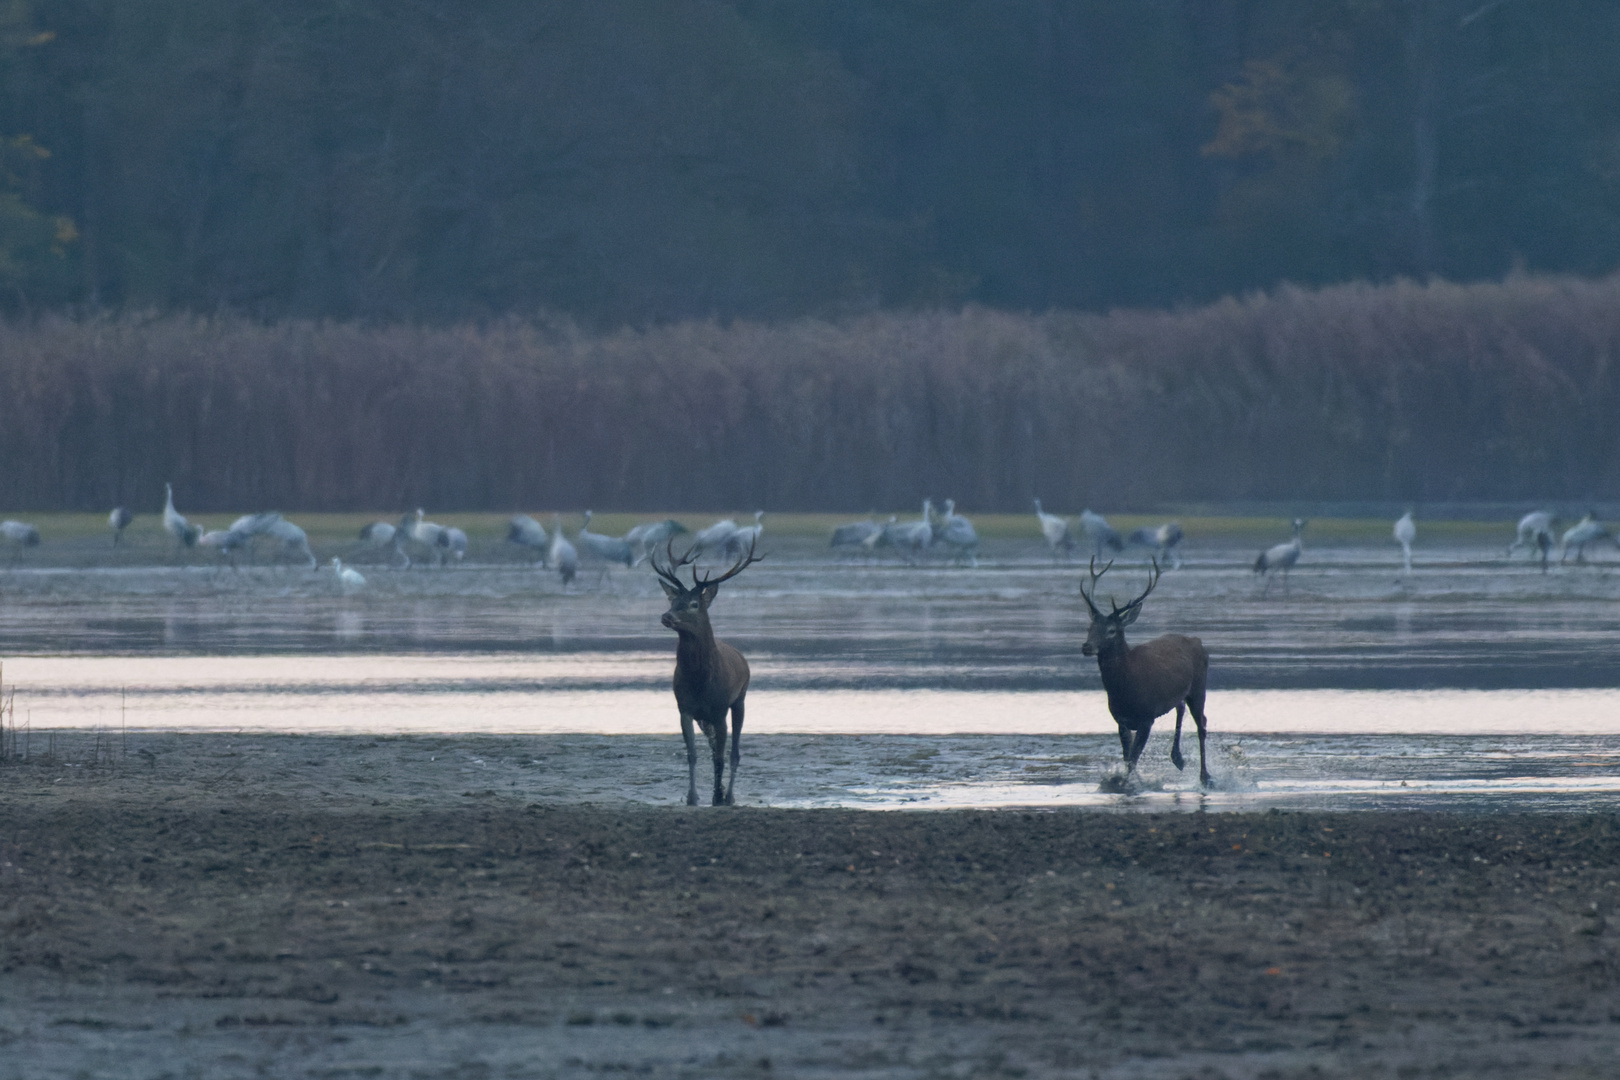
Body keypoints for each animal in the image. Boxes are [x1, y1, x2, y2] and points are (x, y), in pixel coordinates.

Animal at [651, 537, 764, 803]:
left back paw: (728, 794)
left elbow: (721, 756)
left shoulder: (720, 709)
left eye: (693, 604)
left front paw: (718, 797)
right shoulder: (685, 709)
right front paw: (692, 796)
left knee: (733, 752)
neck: (700, 681)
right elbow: (693, 754)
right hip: (705, 718)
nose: (666, 616)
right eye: (673, 601)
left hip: (740, 699)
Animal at [1082, 557, 1211, 786]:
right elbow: (1127, 758)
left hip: (1199, 687)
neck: (1126, 688)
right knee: (1180, 707)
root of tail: (1197, 640)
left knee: (1202, 724)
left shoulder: (1147, 717)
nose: (1086, 646)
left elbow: (1133, 759)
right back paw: (1178, 758)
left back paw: (1205, 777)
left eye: (1111, 630)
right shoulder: (1120, 720)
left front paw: (1130, 783)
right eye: (1090, 627)